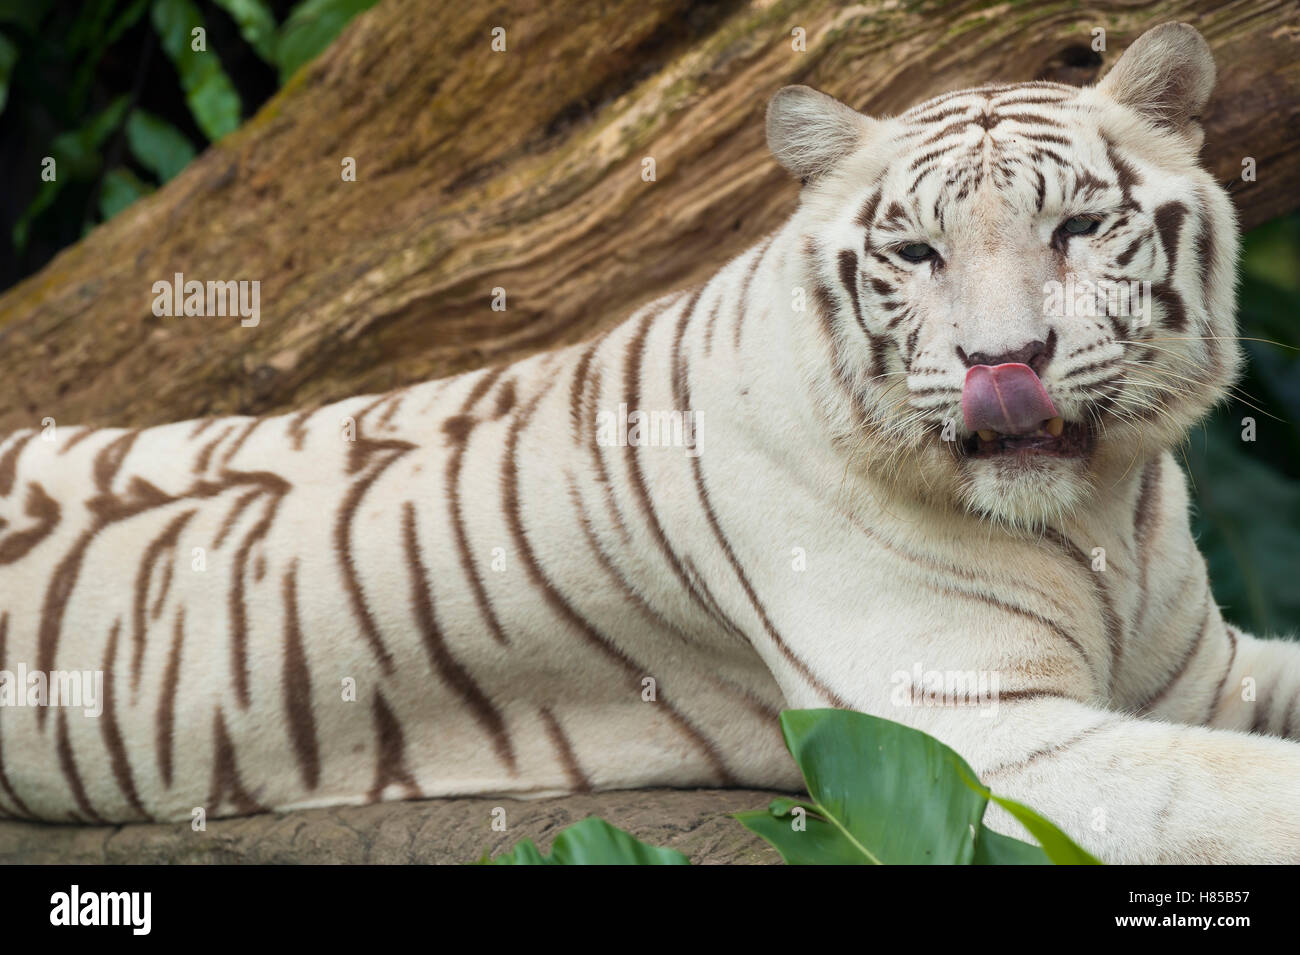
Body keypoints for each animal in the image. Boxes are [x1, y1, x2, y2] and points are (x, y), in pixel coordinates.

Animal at [0, 21, 1297, 864]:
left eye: (1076, 229)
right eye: (917, 253)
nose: (1003, 363)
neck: (1098, 515)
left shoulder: (1206, 671)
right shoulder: (973, 732)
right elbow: (1230, 796)